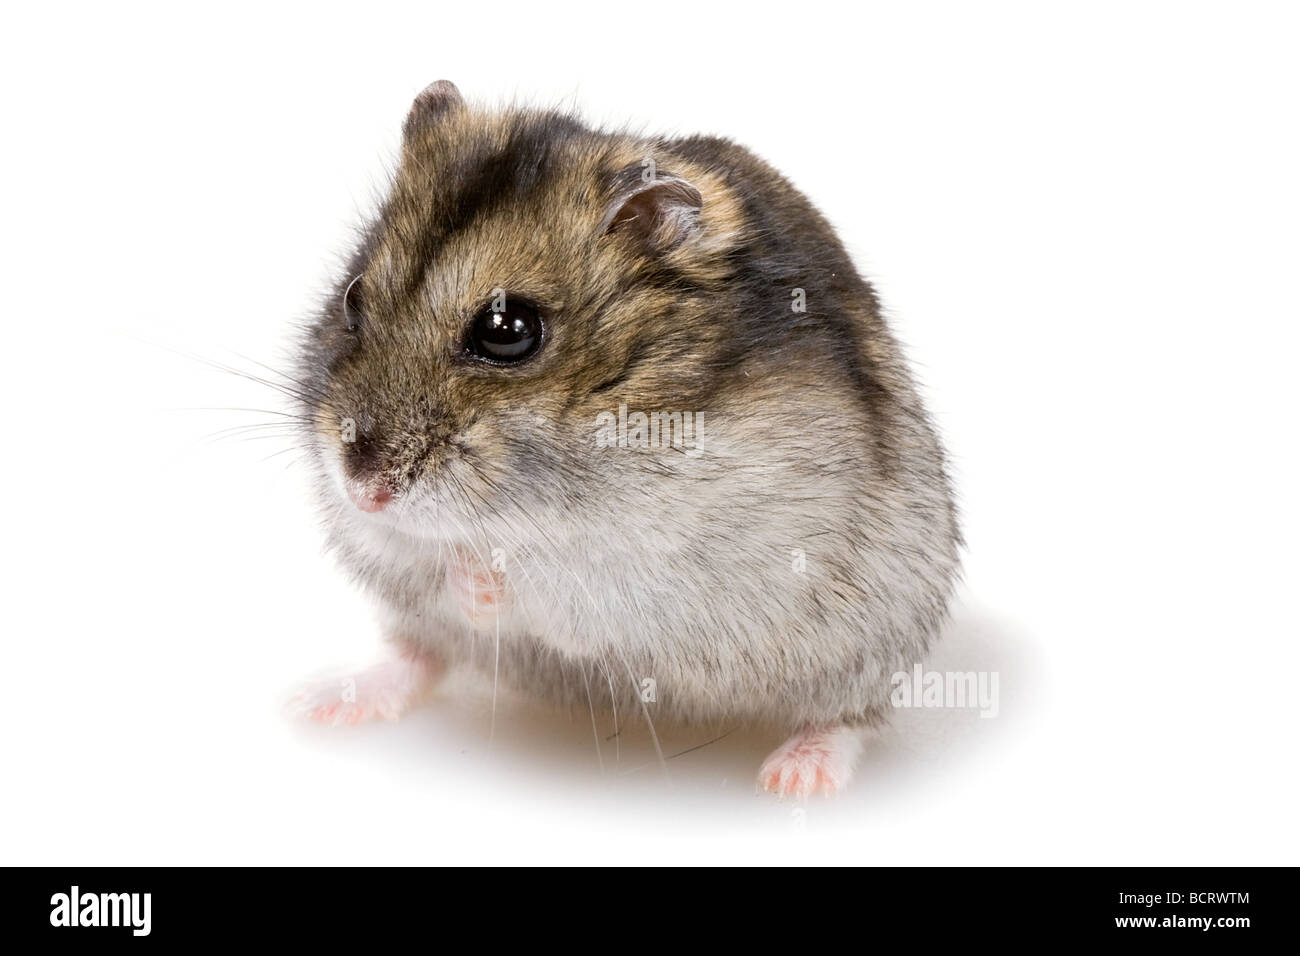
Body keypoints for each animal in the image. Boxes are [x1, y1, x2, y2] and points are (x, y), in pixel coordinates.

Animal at [288, 80, 960, 798]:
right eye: (353, 299)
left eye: (507, 328)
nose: (363, 489)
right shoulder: (375, 543)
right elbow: (420, 565)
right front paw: (455, 564)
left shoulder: (654, 574)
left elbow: (536, 588)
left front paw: (482, 571)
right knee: (420, 656)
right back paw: (319, 704)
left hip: (870, 642)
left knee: (852, 717)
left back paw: (796, 777)